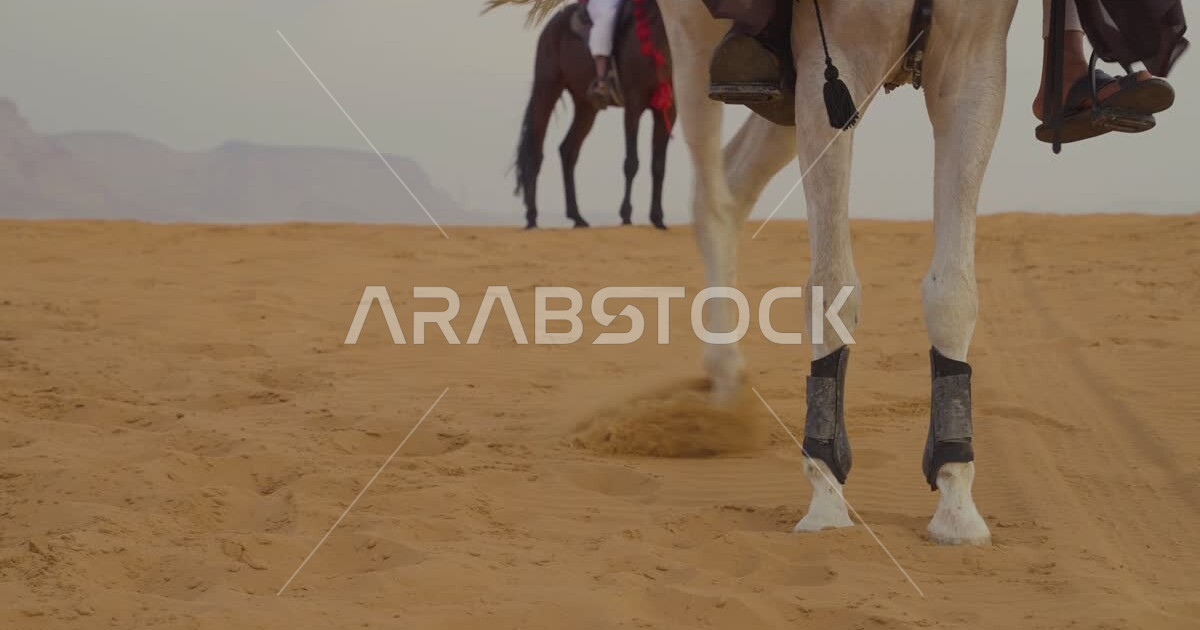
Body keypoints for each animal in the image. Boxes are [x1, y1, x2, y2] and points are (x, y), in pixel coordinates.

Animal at [506, 0, 676, 229]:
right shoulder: (634, 106)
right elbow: (631, 162)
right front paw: (626, 216)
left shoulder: (668, 110)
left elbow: (658, 165)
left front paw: (658, 218)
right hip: (547, 89)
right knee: (535, 151)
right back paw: (532, 218)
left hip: (586, 107)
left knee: (568, 151)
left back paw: (577, 217)